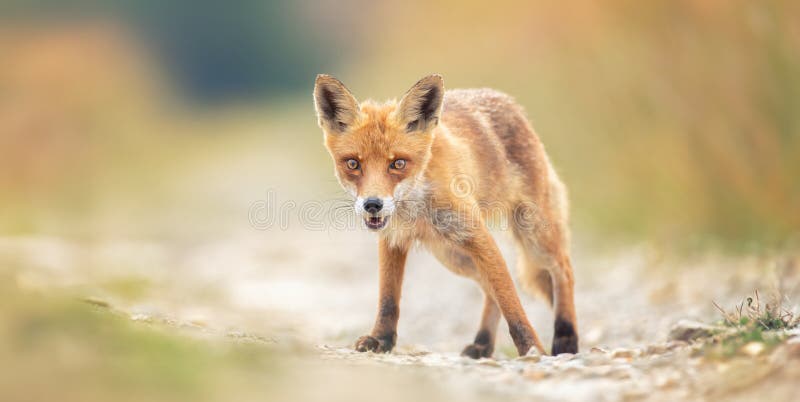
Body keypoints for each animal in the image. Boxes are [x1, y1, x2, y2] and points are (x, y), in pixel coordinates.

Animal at [313, 74, 578, 357]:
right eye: (353, 163)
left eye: (398, 163)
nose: (373, 205)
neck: (416, 205)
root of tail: (510, 103)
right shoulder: (392, 238)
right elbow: (388, 299)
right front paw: (381, 340)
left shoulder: (478, 235)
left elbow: (511, 302)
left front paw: (531, 349)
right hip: (453, 256)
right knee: (490, 291)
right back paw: (483, 343)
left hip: (532, 235)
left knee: (562, 270)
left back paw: (566, 337)